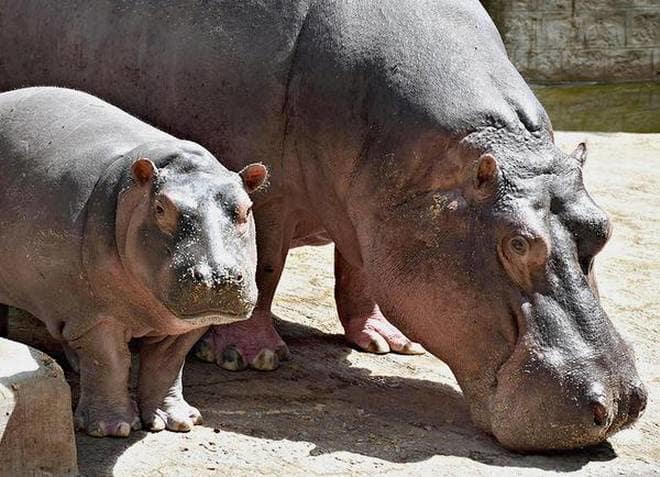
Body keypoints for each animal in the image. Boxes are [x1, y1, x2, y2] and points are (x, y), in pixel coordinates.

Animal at [0, 87, 268, 437]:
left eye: (246, 208)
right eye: (161, 208)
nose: (217, 276)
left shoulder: (185, 325)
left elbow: (167, 366)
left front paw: (179, 421)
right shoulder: (94, 316)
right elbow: (109, 362)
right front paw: (112, 428)